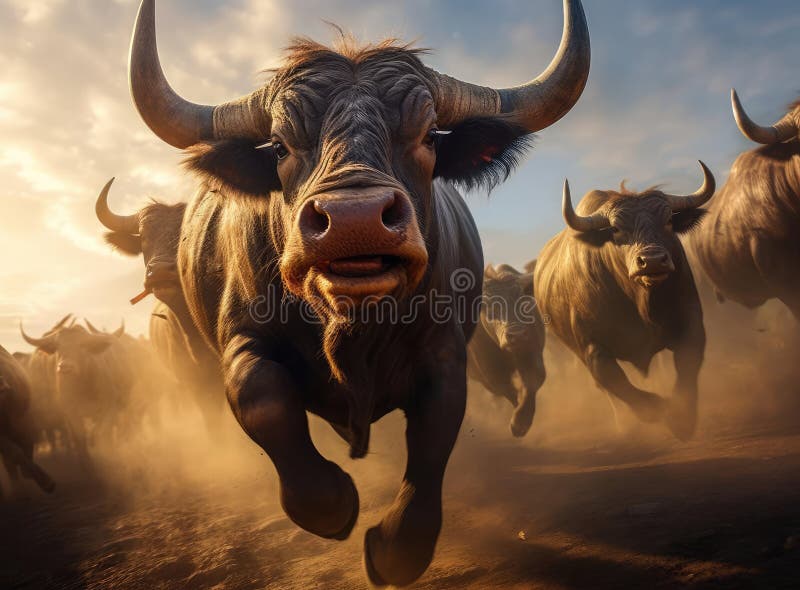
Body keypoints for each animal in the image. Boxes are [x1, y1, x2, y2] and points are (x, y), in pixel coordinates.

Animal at [467, 263, 546, 437]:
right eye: (489, 310)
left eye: (524, 303)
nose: (517, 335)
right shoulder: (491, 372)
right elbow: (508, 392)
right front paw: (518, 422)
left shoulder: (531, 352)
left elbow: (533, 381)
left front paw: (521, 421)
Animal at [535, 162, 715, 441]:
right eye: (617, 229)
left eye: (668, 221)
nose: (652, 261)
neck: (640, 303)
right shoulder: (592, 350)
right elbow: (618, 384)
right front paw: (659, 410)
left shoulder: (691, 323)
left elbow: (687, 366)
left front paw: (682, 418)